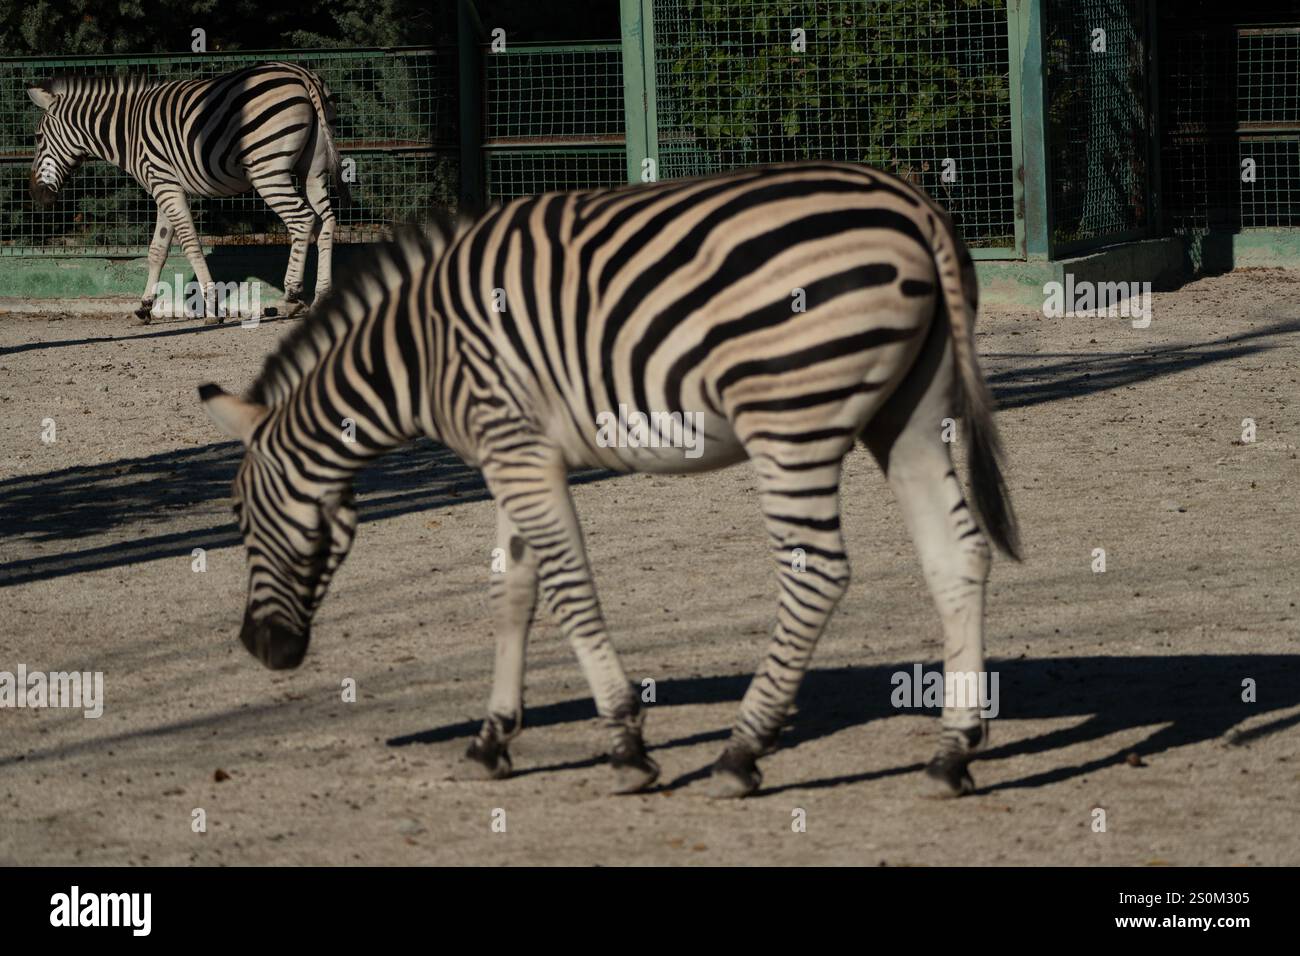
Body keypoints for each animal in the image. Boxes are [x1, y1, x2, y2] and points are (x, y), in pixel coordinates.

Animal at [27, 62, 348, 325]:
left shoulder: (165, 185)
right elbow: (157, 250)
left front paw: (213, 307)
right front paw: (144, 307)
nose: (36, 195)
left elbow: (191, 244)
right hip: (312, 169)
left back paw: (292, 296)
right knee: (327, 222)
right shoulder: (164, 185)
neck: (127, 129)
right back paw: (322, 297)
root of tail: (302, 74)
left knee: (302, 220)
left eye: (38, 138)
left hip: (267, 170)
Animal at [199, 161, 1020, 798]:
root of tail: (914, 206)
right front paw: (492, 740)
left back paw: (741, 751)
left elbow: (568, 588)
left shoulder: (516, 449)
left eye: (238, 519)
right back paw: (952, 753)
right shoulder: (514, 453)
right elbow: (512, 592)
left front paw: (627, 743)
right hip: (910, 415)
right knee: (958, 554)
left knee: (816, 571)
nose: (258, 649)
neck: (415, 351)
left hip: (790, 418)